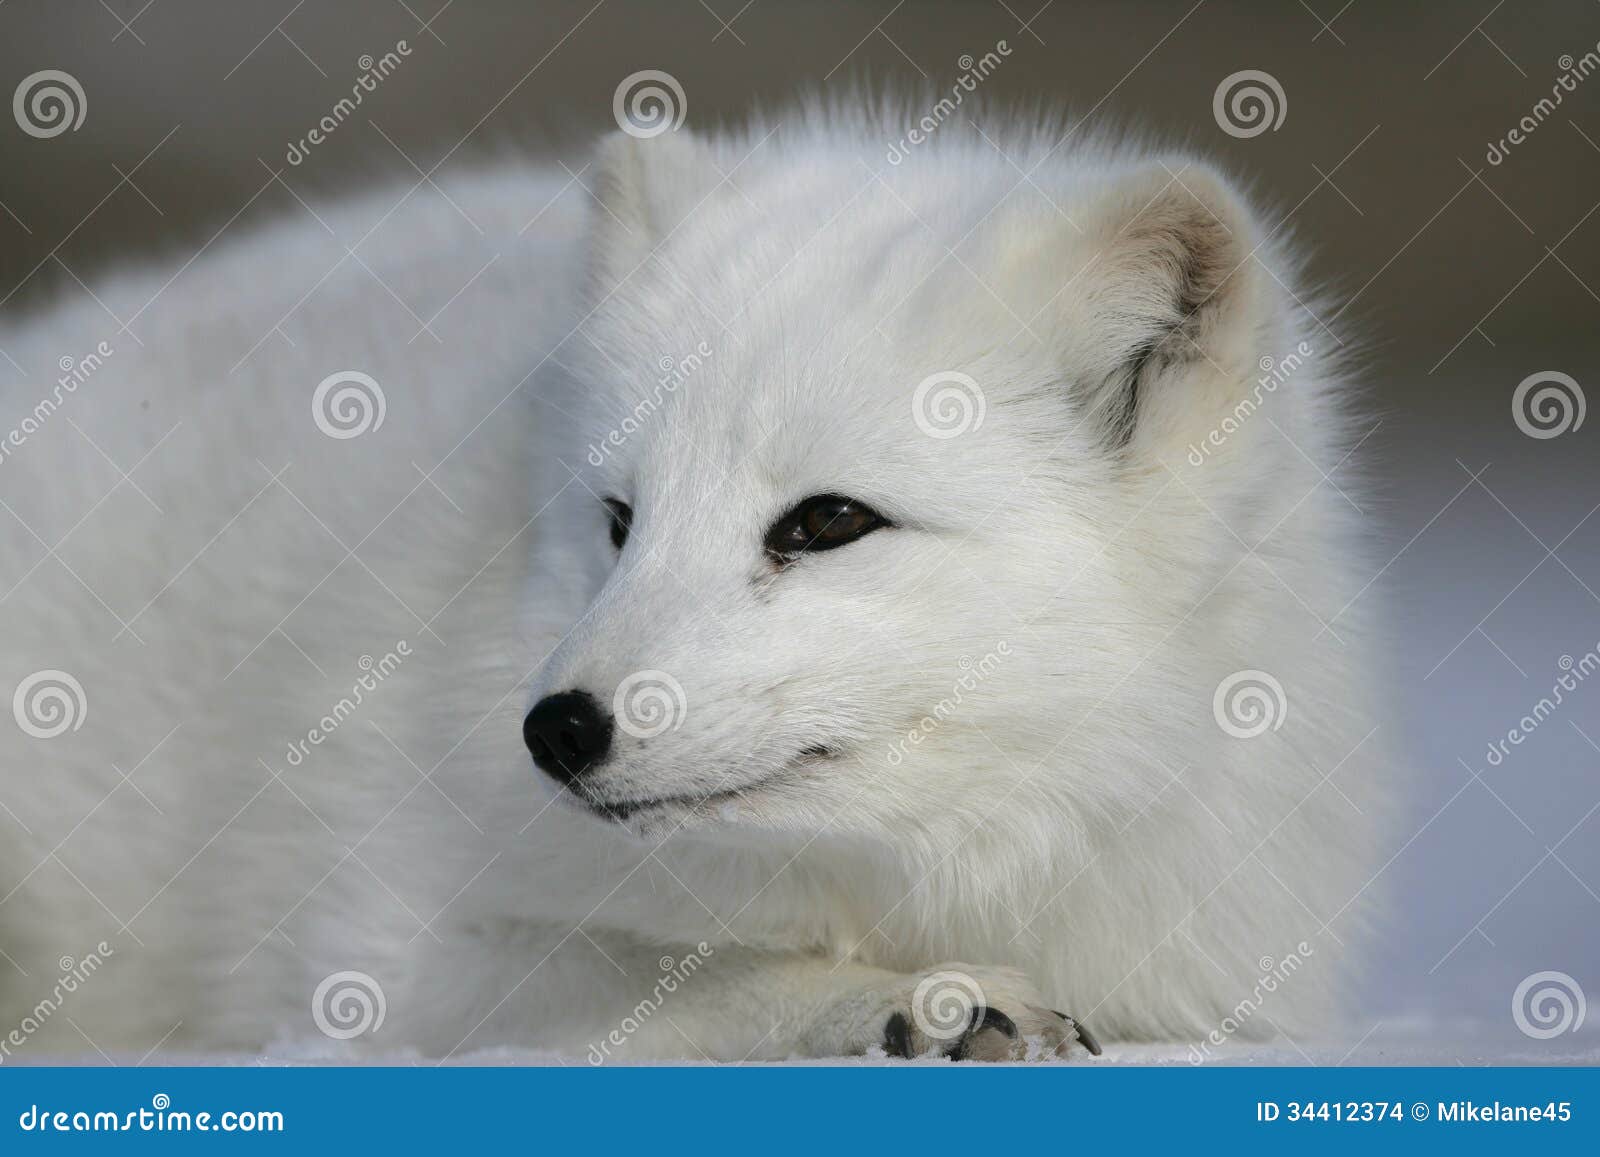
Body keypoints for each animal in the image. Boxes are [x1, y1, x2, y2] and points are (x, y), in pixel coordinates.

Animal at [0, 98, 1386, 1062]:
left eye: (827, 521)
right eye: (621, 520)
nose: (555, 730)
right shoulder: (379, 954)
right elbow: (672, 976)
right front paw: (916, 1002)